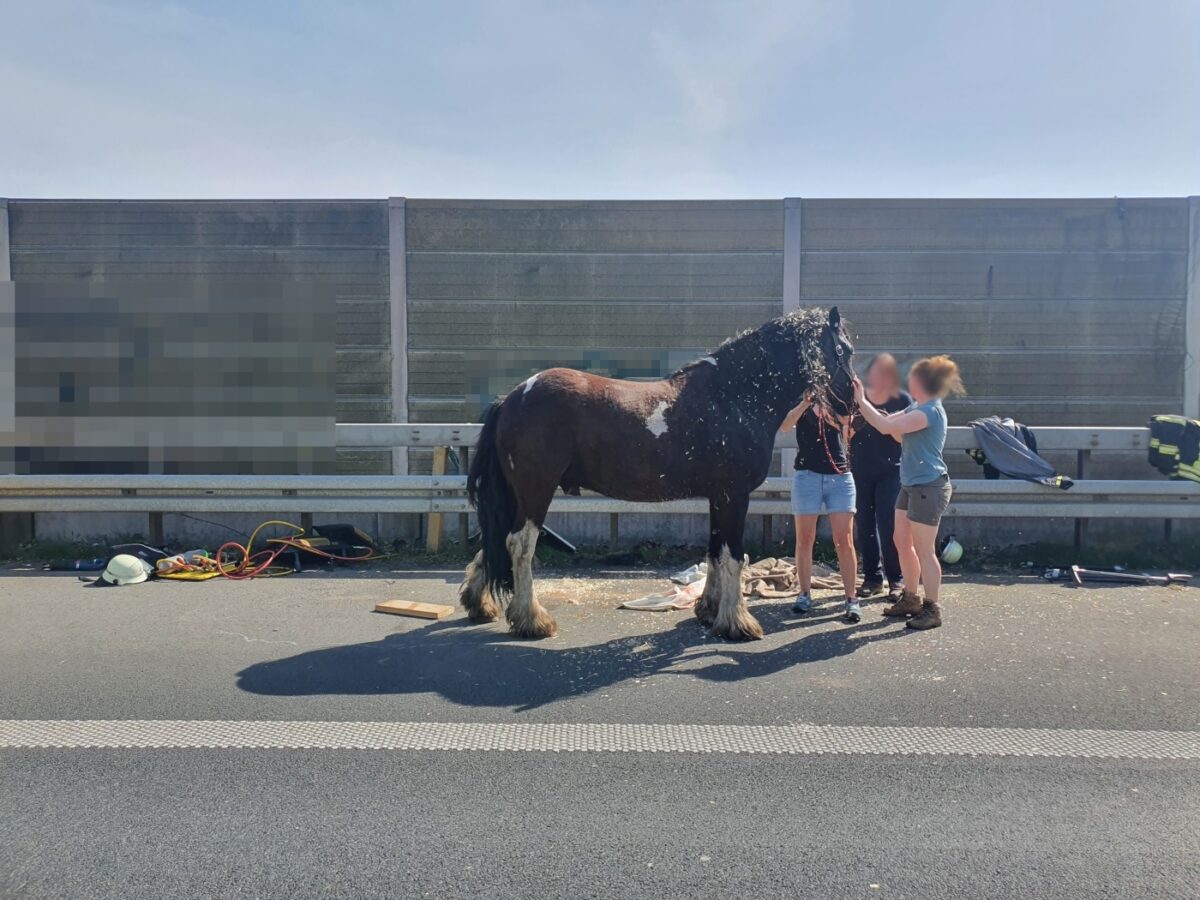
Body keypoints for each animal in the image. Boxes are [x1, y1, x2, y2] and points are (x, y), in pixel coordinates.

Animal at [458, 306, 856, 641]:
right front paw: (737, 623)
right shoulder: (734, 495)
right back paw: (533, 620)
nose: (852, 403)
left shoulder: (719, 497)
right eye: (846, 350)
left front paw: (709, 611)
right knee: (519, 545)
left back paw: (480, 604)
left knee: (495, 540)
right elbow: (733, 557)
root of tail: (511, 398)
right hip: (536, 491)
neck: (733, 396)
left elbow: (715, 552)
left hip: (516, 494)